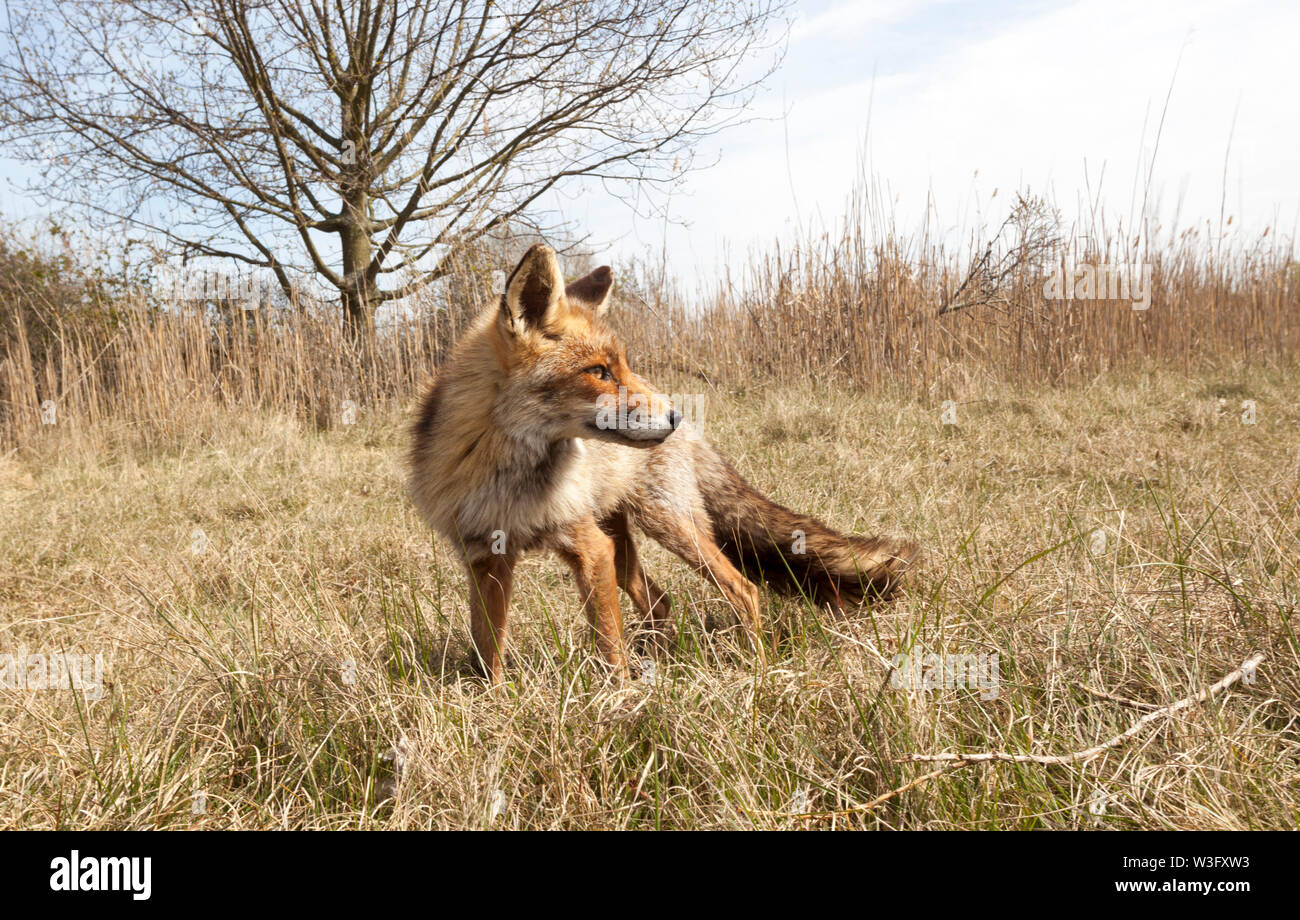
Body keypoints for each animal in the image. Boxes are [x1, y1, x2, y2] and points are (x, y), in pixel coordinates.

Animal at [408, 243, 919, 683]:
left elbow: (607, 644)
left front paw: (619, 698)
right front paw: (495, 701)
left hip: (668, 527)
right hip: (622, 543)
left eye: (622, 366)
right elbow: (486, 651)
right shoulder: (485, 558)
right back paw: (661, 659)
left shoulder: (588, 546)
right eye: (598, 372)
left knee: (743, 590)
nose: (675, 417)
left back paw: (757, 669)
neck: (505, 472)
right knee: (659, 602)